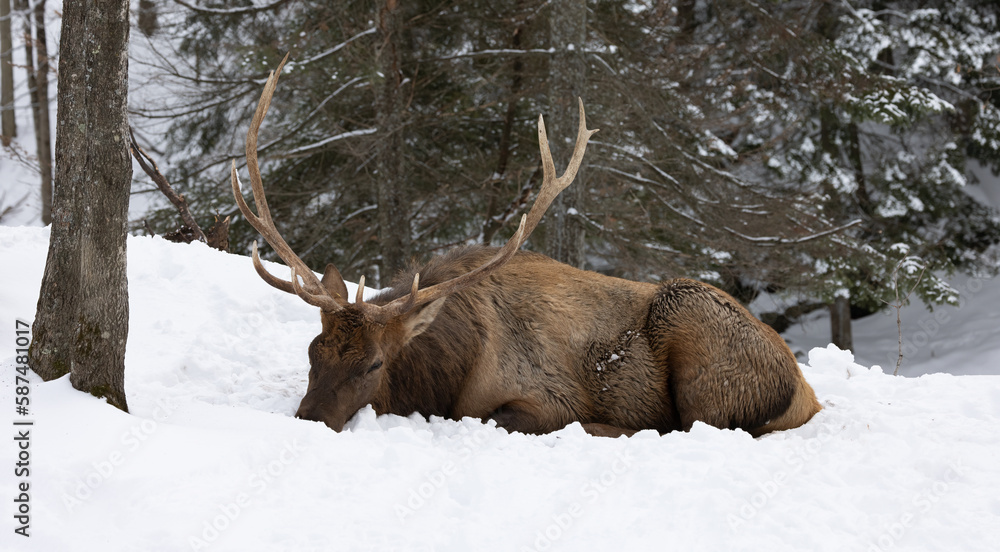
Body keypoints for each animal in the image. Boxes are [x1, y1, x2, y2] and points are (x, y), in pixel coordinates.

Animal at [231, 56, 822, 438]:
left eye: (374, 364)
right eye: (313, 351)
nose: (308, 419)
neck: (449, 372)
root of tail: (806, 391)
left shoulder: (545, 396)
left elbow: (499, 417)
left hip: (695, 327)